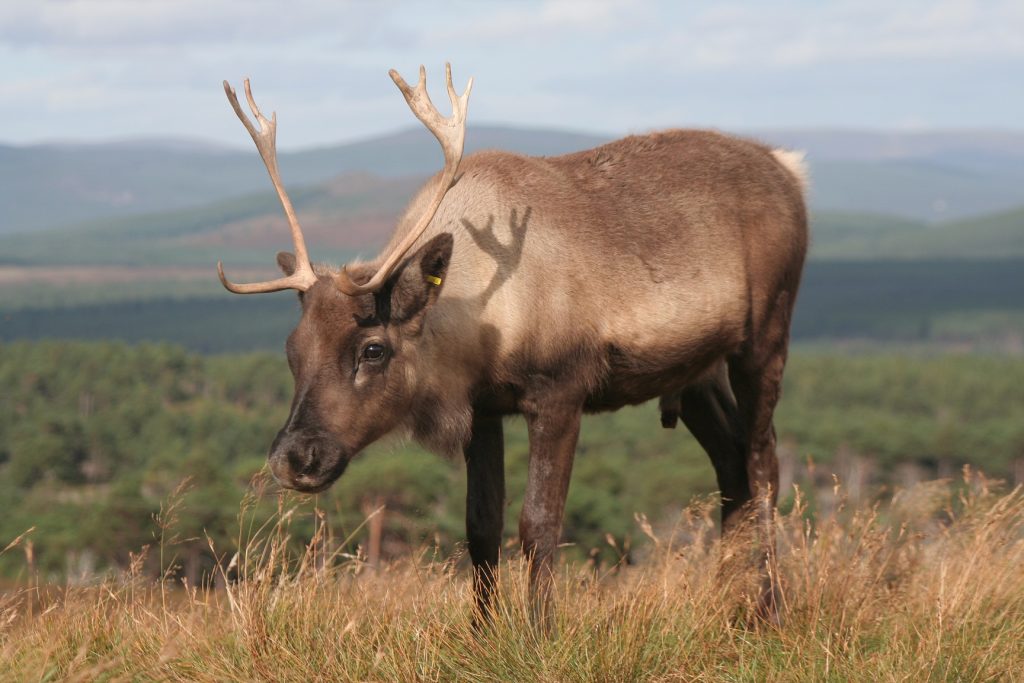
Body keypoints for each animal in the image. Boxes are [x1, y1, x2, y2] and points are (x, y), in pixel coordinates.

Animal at [216, 64, 808, 626]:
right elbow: (481, 525)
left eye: (372, 349)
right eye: (292, 349)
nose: (294, 458)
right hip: (695, 371)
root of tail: (789, 168)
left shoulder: (560, 391)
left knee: (763, 463)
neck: (480, 320)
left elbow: (538, 522)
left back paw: (771, 611)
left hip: (765, 336)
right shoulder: (483, 408)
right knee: (731, 463)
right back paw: (730, 604)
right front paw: (482, 633)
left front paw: (540, 632)